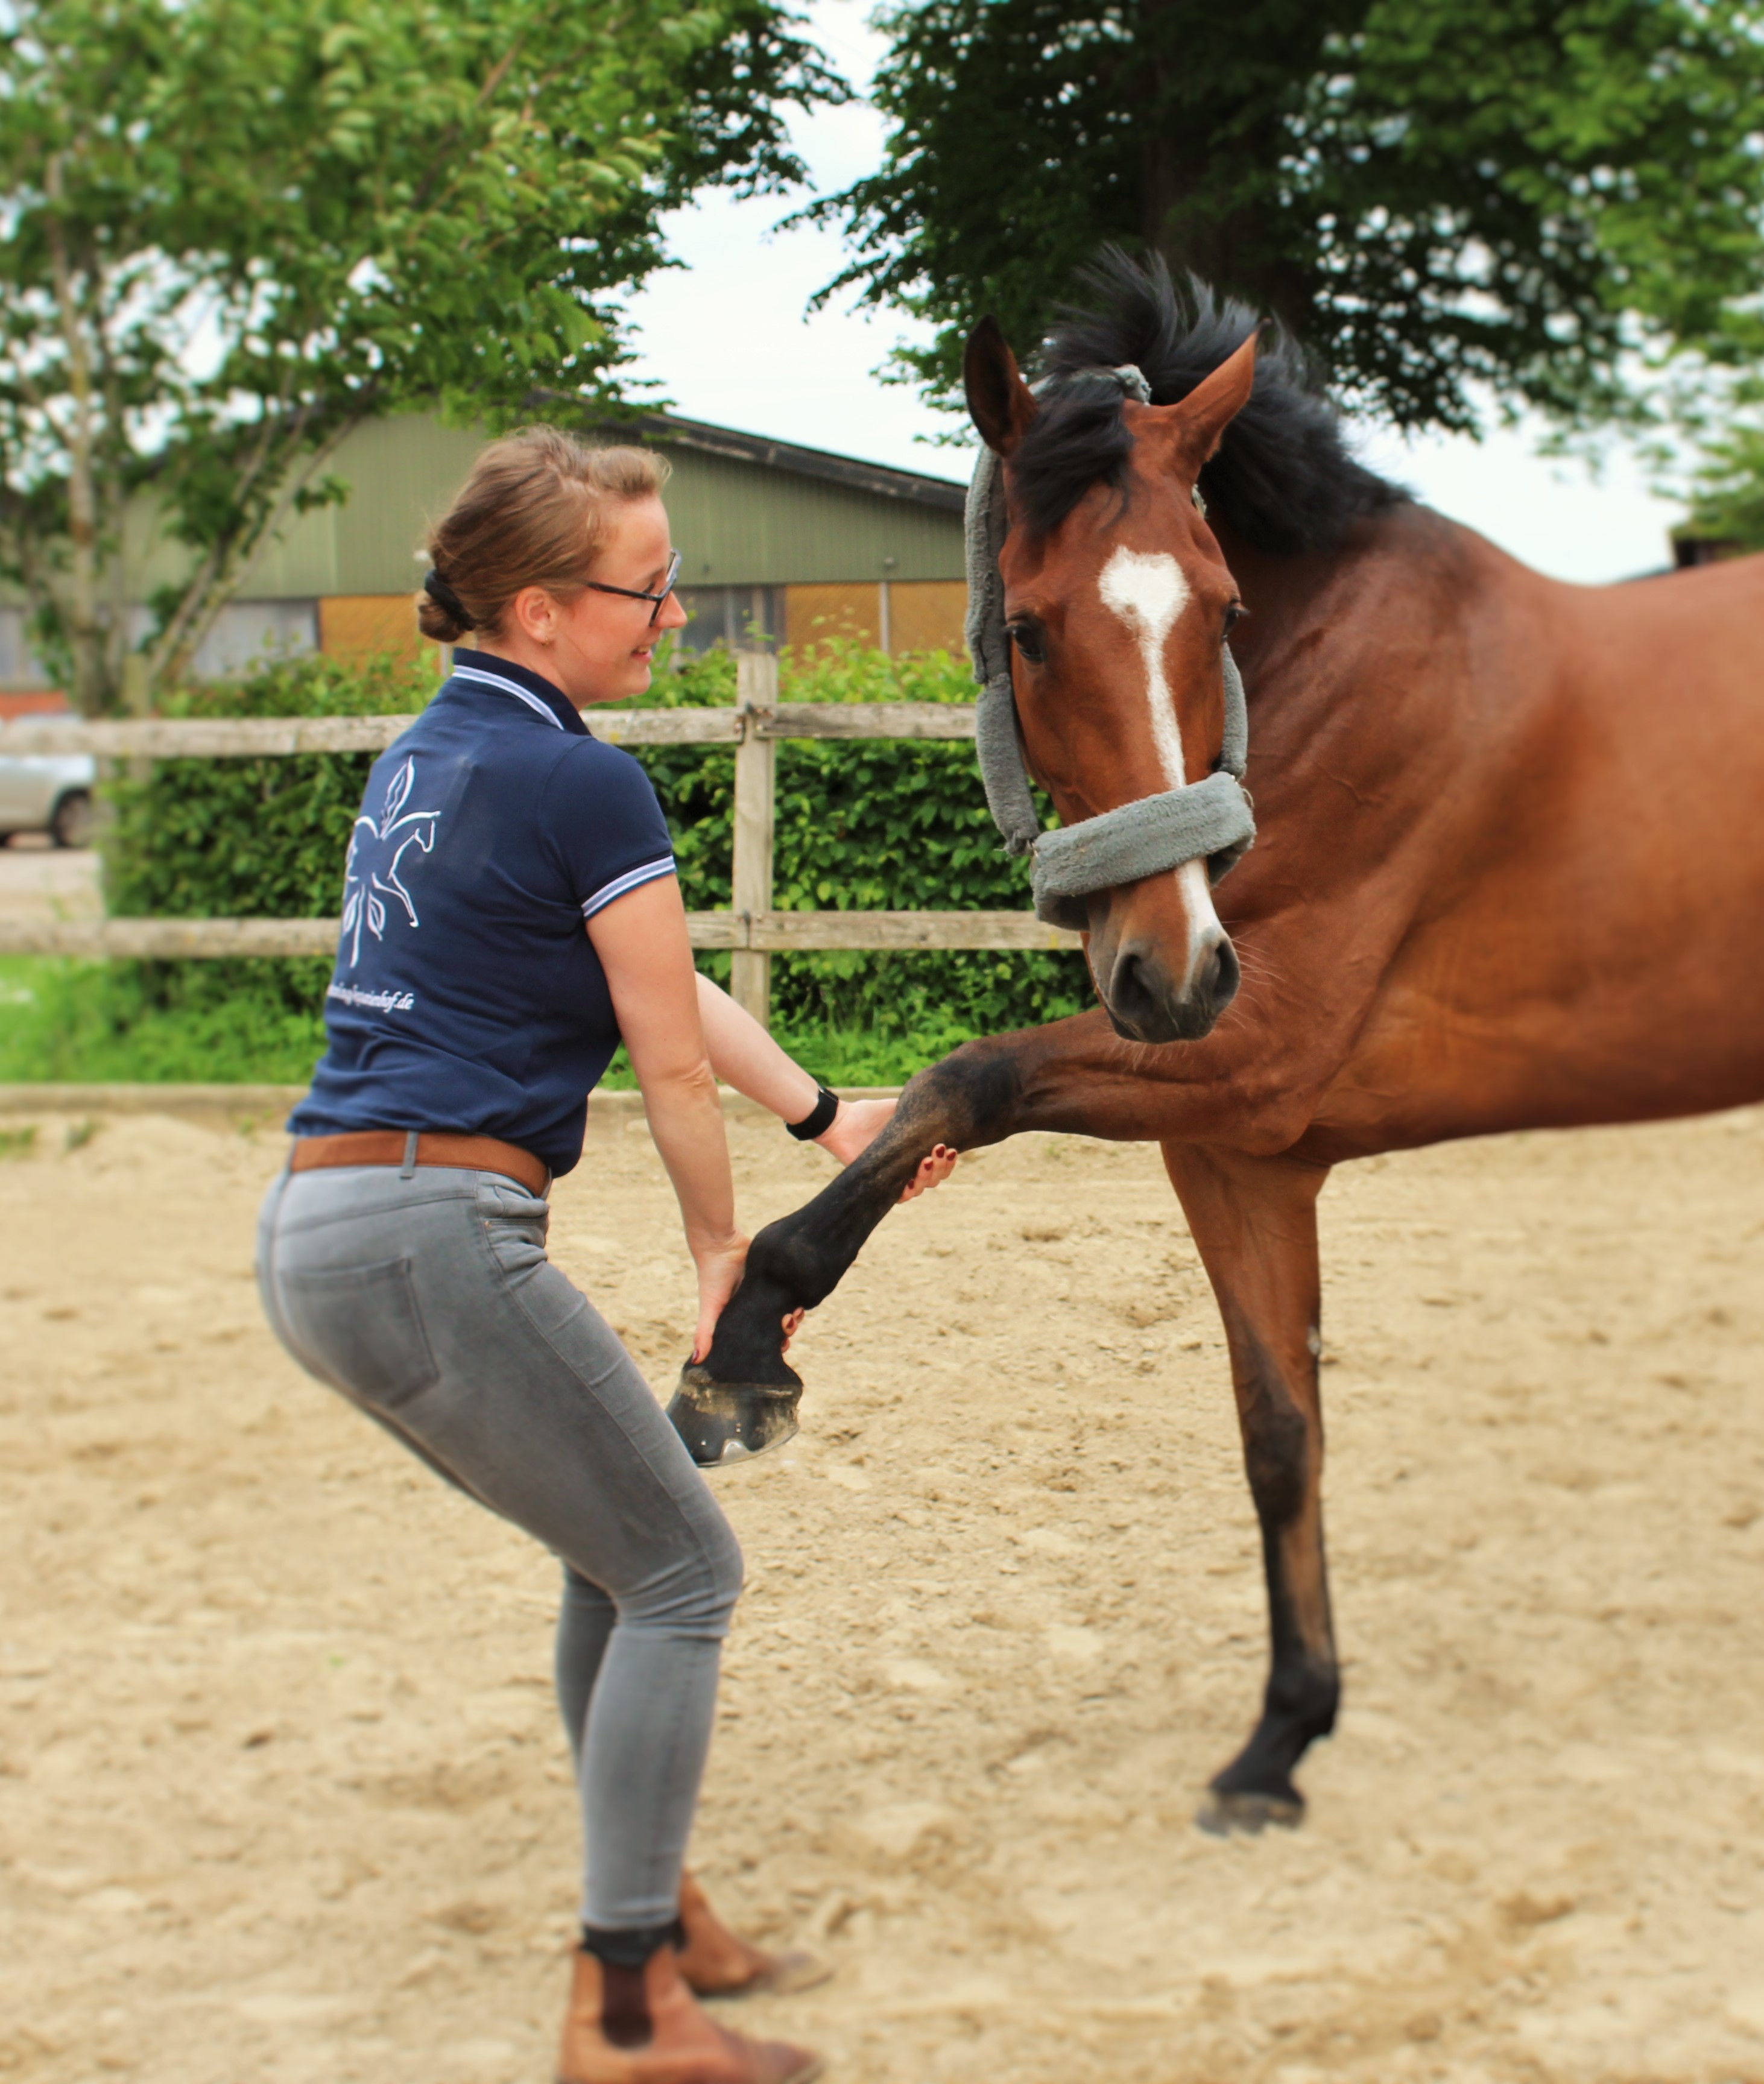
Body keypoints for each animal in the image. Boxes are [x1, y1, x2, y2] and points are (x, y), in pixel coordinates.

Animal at [675, 251, 1764, 1833]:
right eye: (1026, 628)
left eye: (1225, 607)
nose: (1175, 971)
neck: (1324, 704)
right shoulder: (1233, 1143)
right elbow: (1278, 1431)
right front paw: (1279, 1738)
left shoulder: (1254, 1053)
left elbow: (965, 1078)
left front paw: (743, 1351)